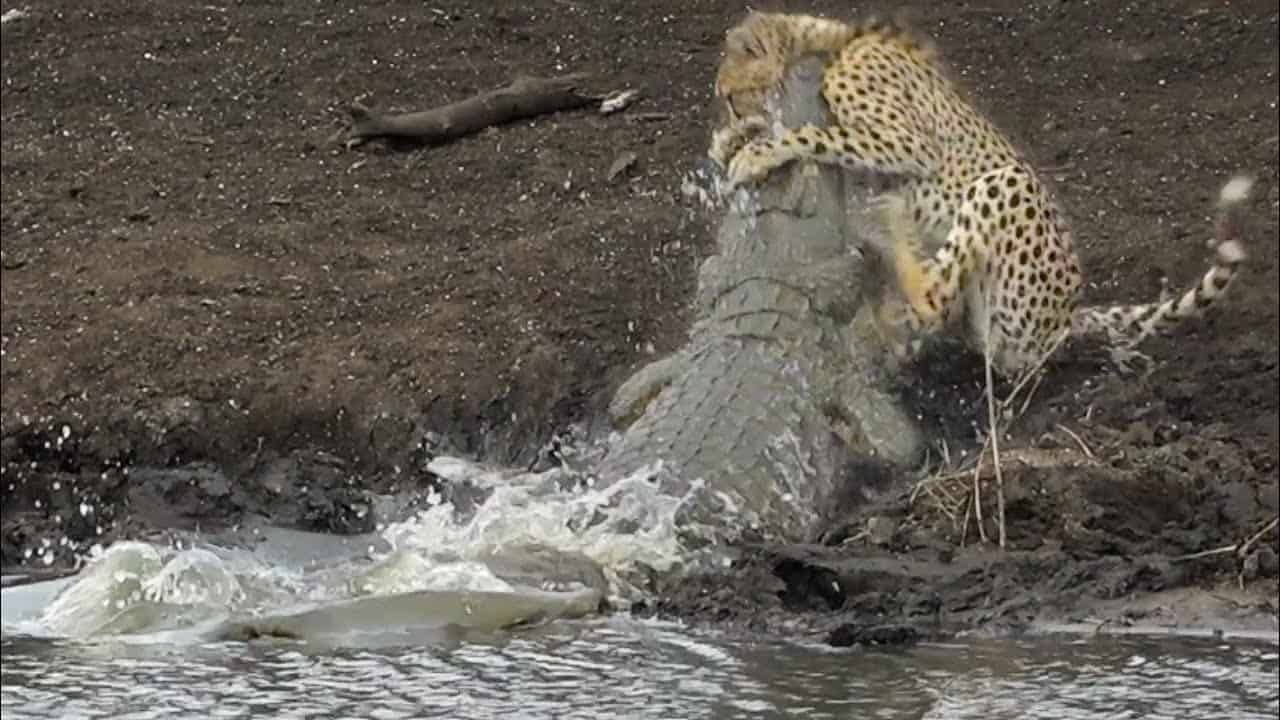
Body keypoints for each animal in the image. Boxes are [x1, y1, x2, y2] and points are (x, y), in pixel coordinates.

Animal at [709, 10, 1250, 376]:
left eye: (731, 96)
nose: (729, 111)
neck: (833, 46)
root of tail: (1068, 318)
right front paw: (727, 143)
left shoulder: (905, 143)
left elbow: (814, 134)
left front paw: (755, 151)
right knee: (925, 316)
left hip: (1007, 188)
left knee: (932, 295)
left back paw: (891, 231)